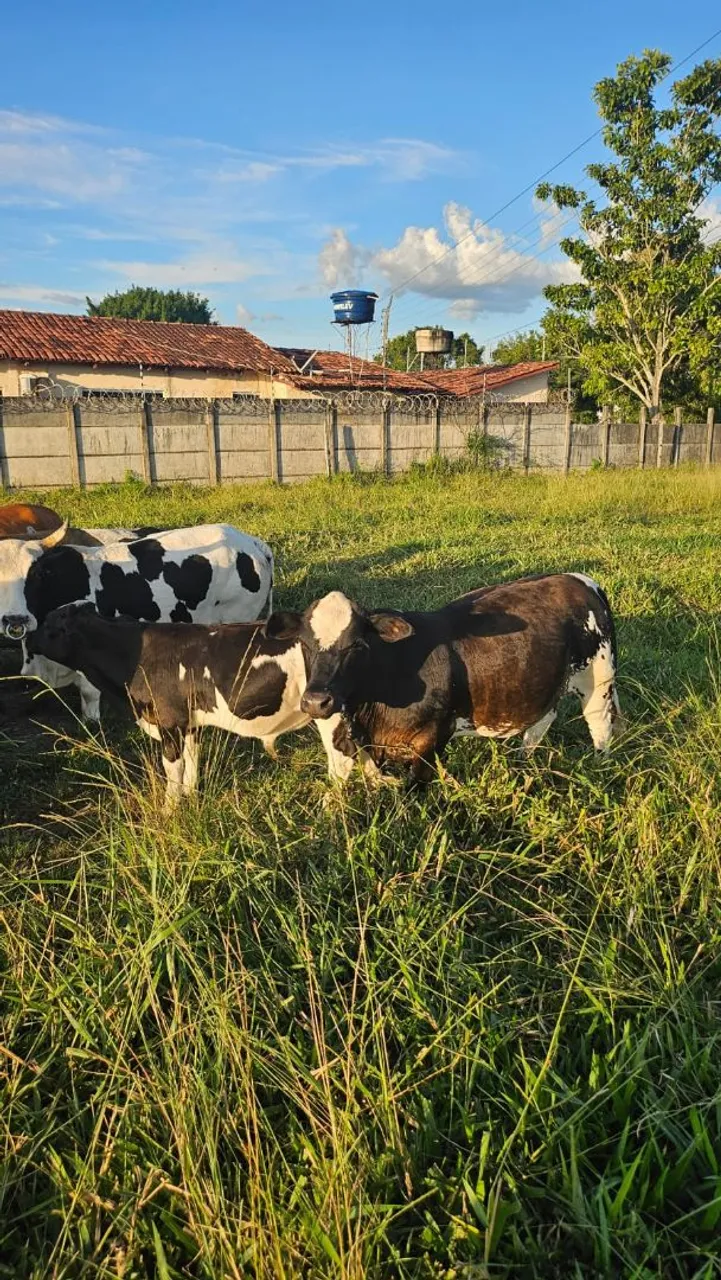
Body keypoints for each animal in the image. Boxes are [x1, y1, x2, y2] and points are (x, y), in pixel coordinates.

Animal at [26, 604, 378, 807]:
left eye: (48, 627)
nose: (26, 637)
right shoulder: (189, 723)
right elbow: (192, 766)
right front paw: (191, 798)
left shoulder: (169, 723)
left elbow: (173, 769)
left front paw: (170, 812)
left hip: (327, 713)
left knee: (342, 758)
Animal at [264, 574, 621, 782]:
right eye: (305, 644)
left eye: (357, 644)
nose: (316, 701)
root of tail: (580, 580)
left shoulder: (432, 737)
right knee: (543, 719)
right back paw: (523, 760)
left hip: (598, 678)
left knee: (599, 724)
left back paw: (601, 766)